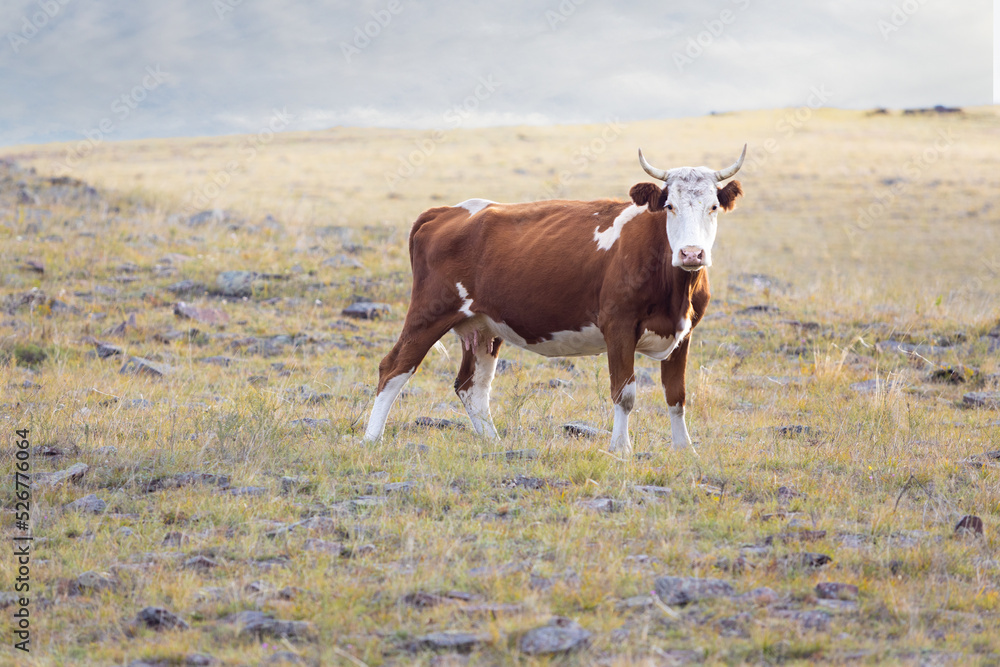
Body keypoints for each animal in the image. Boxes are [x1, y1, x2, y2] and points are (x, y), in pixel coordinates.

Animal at [363, 145, 746, 453]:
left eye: (713, 206)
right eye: (669, 205)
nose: (692, 253)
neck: (675, 292)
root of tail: (446, 211)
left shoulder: (685, 331)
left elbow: (676, 395)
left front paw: (685, 450)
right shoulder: (619, 325)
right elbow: (624, 393)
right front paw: (621, 448)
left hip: (483, 326)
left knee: (472, 386)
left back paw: (493, 442)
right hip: (429, 312)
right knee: (394, 368)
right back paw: (371, 438)